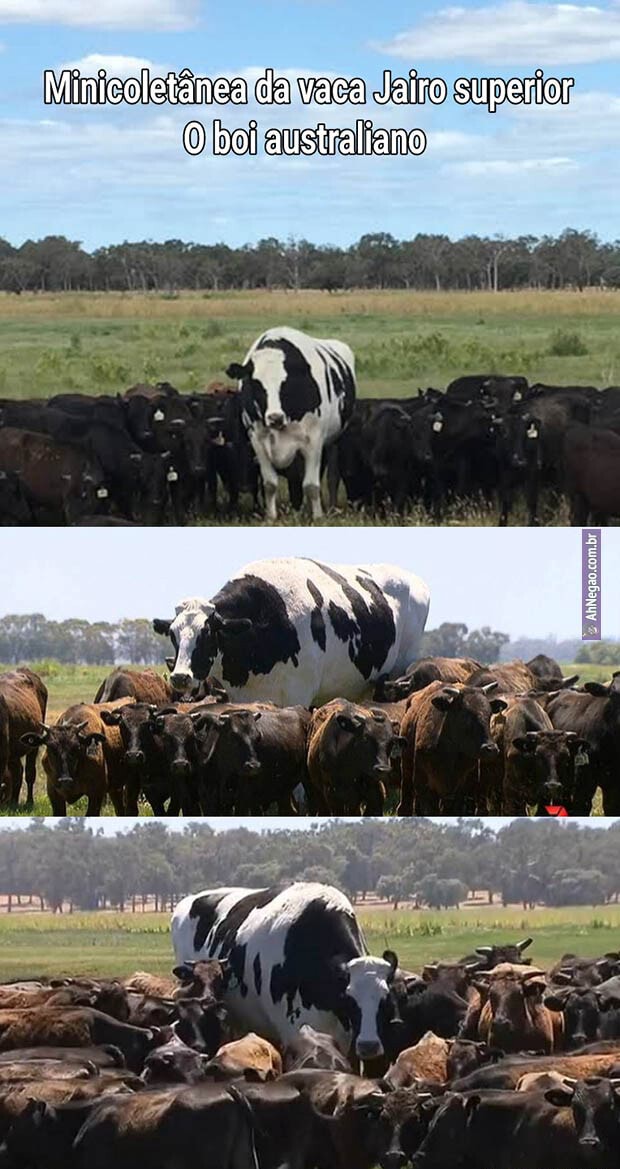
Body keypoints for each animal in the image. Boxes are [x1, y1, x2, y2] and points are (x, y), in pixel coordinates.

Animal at [226, 326, 356, 520]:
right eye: (256, 384)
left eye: (286, 382)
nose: (275, 417)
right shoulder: (257, 440)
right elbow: (270, 484)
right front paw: (271, 517)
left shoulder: (313, 440)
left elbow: (311, 485)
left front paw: (318, 517)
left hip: (334, 439)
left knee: (331, 477)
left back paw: (329, 508)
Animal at [398, 682, 506, 815]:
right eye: (465, 715)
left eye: (489, 714)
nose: (491, 749)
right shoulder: (425, 787)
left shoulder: (464, 790)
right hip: (406, 768)